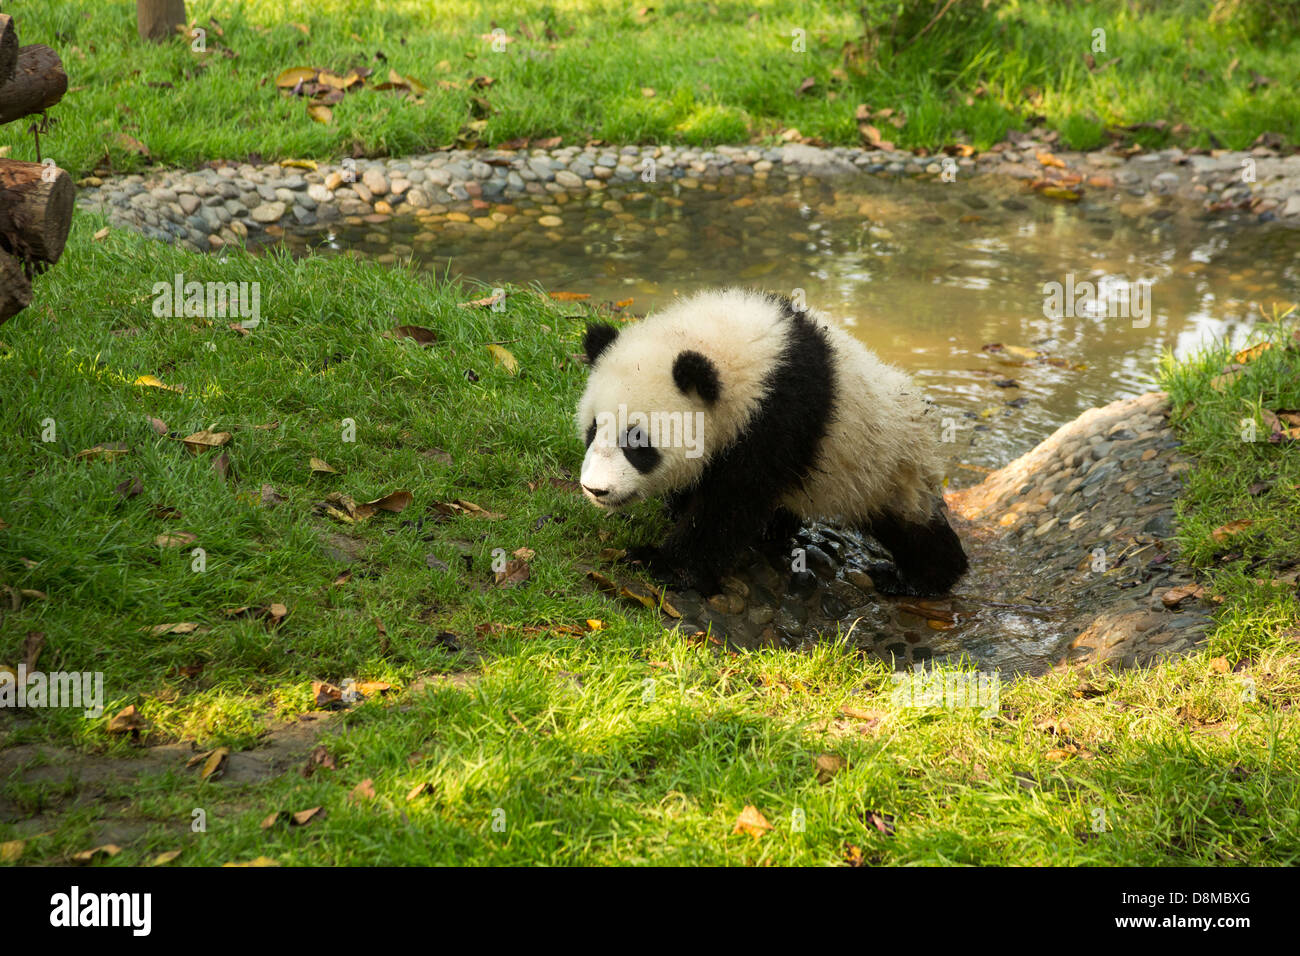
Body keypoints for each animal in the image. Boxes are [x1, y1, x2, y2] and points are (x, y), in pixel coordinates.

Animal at [575, 287, 968, 597]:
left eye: (637, 442)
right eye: (593, 429)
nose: (596, 489)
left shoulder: (780, 417)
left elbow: (732, 503)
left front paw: (662, 563)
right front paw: (677, 509)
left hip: (889, 464)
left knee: (913, 528)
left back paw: (918, 579)